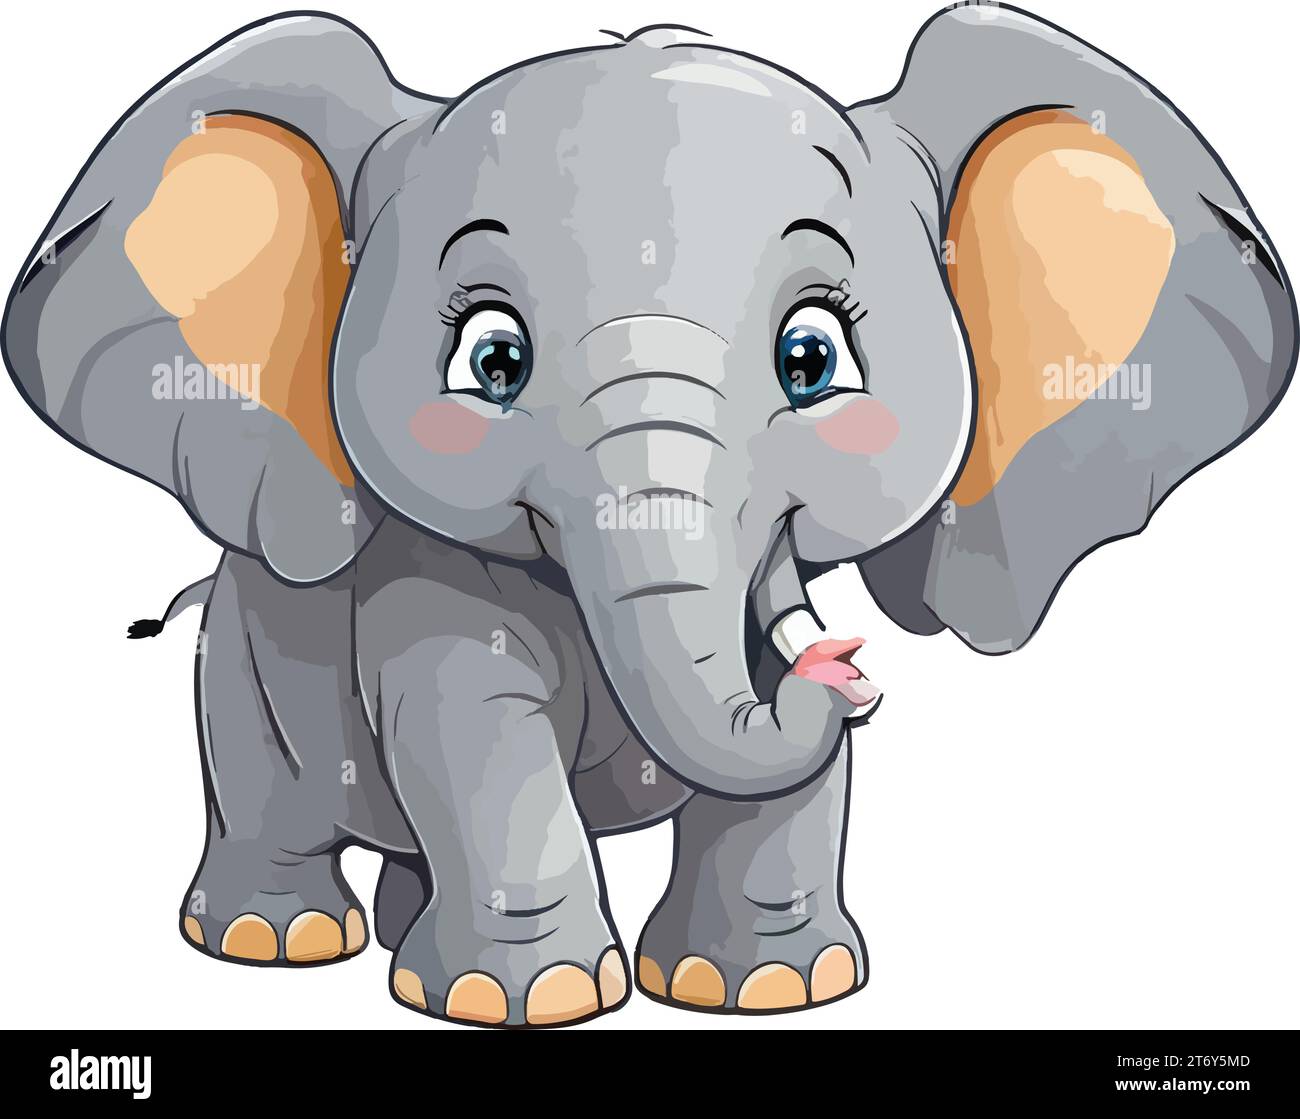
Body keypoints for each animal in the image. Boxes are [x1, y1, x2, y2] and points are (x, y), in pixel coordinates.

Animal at [3, 7, 1294, 1028]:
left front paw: (770, 990)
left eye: (811, 361)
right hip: (235, 657)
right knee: (266, 793)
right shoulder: (424, 583)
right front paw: (529, 1004)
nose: (847, 665)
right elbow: (471, 727)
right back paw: (280, 943)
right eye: (492, 361)